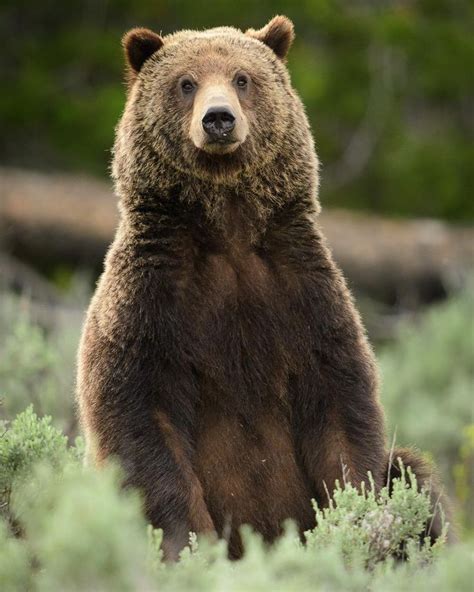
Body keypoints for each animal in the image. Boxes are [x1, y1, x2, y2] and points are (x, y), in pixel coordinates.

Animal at [77, 15, 452, 560]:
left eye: (242, 78)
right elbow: (141, 422)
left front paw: (358, 524)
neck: (229, 231)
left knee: (413, 472)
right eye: (185, 82)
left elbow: (343, 415)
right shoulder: (150, 302)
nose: (218, 120)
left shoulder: (302, 296)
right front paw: (193, 543)